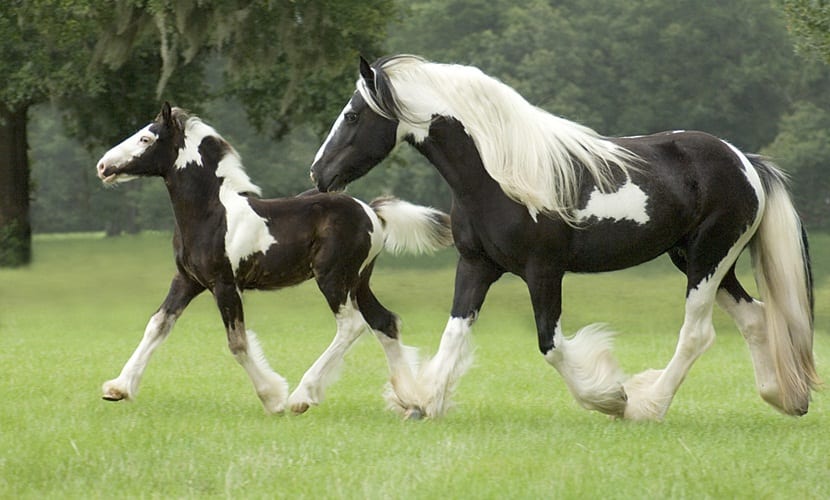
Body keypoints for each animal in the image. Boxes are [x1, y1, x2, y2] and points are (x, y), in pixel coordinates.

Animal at [96, 102, 453, 414]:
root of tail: (372, 212)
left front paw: (273, 398)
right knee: (384, 321)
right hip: (359, 281)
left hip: (333, 278)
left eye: (146, 138)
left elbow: (237, 343)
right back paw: (412, 400)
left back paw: (302, 397)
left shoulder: (224, 284)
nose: (102, 166)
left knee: (352, 325)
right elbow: (157, 324)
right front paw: (118, 388)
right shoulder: (187, 280)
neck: (212, 213)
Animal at [310, 55, 818, 421]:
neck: (499, 175)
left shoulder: (544, 272)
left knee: (697, 333)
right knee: (755, 317)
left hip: (707, 260)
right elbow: (454, 333)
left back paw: (648, 405)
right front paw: (421, 400)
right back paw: (784, 398)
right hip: (702, 259)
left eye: (352, 115)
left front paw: (611, 398)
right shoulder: (476, 265)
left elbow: (550, 344)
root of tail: (745, 161)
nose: (318, 174)